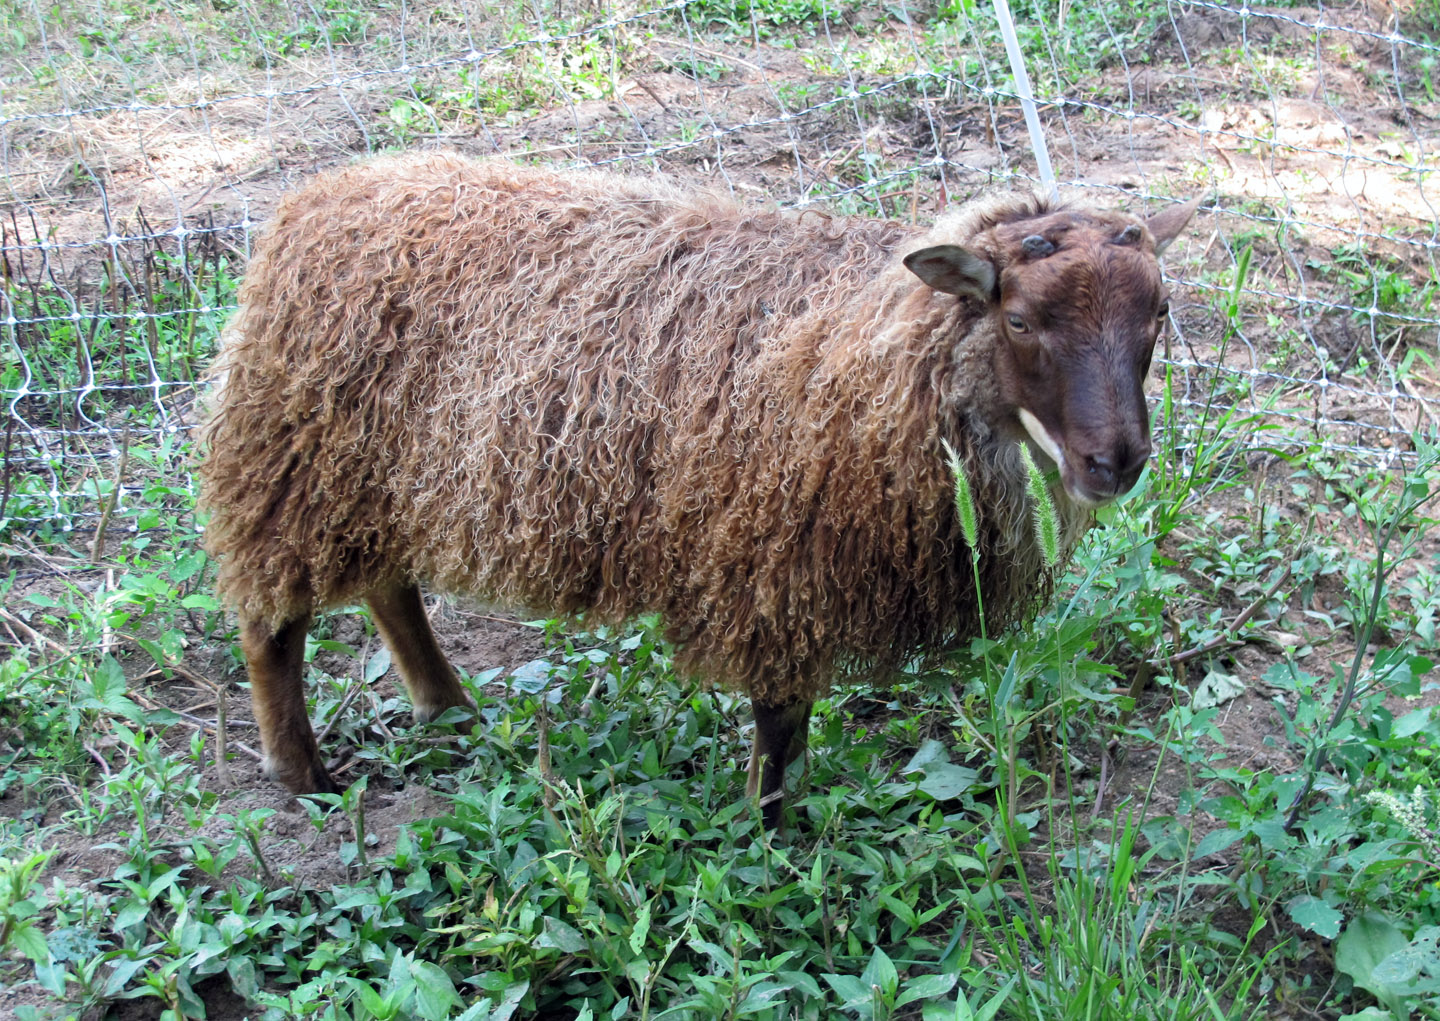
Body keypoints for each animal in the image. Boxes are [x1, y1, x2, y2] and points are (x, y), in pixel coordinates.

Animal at [198, 152, 1197, 826]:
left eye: (1158, 313)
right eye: (1020, 320)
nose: (1116, 462)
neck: (872, 352)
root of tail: (320, 198)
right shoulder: (778, 569)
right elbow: (780, 719)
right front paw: (769, 831)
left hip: (373, 472)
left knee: (388, 585)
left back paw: (446, 705)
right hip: (293, 460)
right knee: (273, 624)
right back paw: (305, 775)